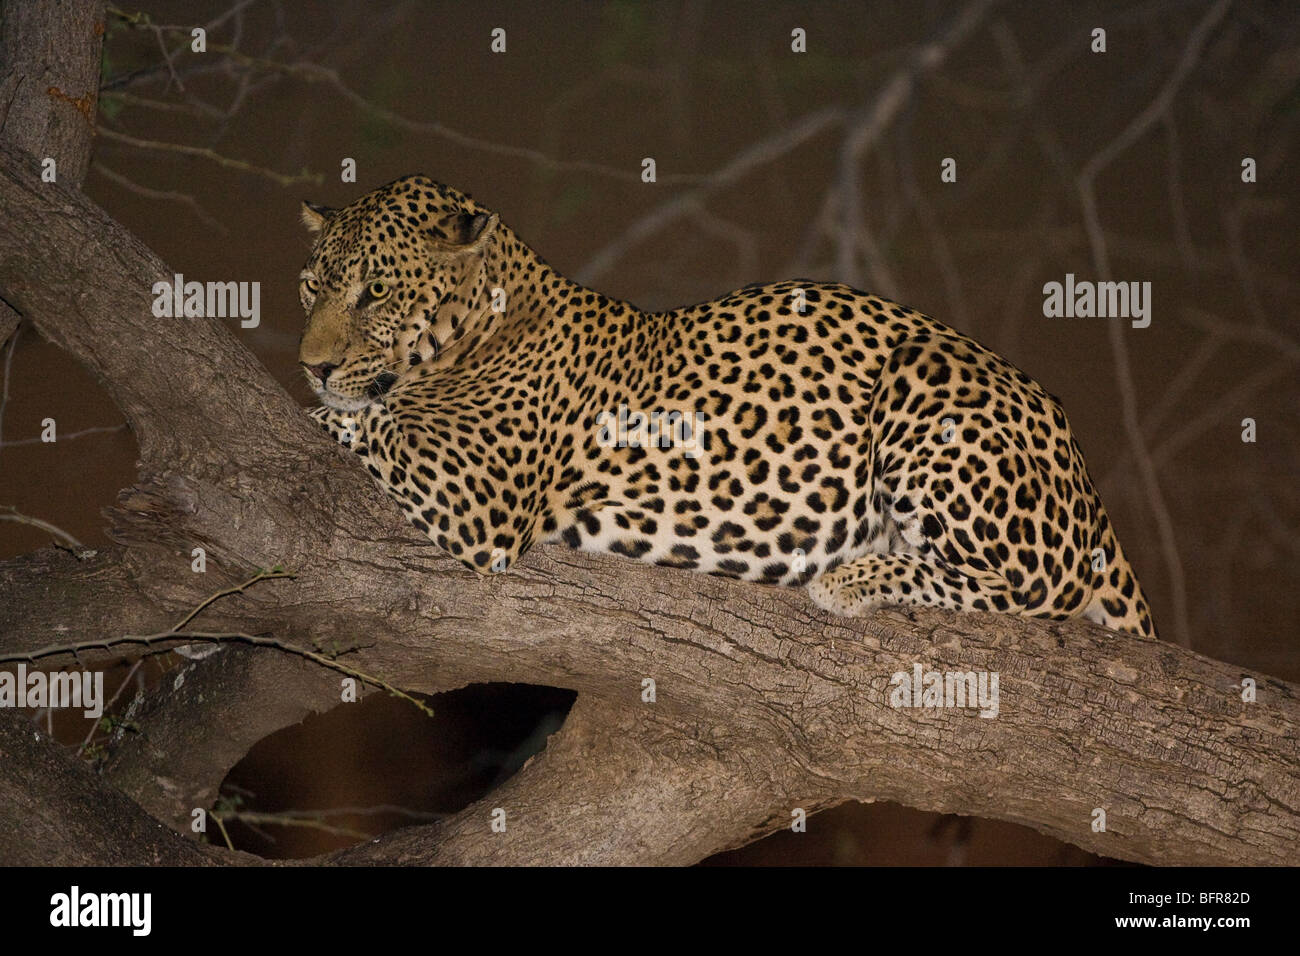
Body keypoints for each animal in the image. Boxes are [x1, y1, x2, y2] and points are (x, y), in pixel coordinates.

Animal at [296, 174, 1158, 639]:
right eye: (312, 287)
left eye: (374, 291)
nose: (311, 365)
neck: (486, 320)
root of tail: (1083, 473)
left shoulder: (479, 498)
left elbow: (369, 419)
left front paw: (326, 408)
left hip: (930, 377)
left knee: (1040, 590)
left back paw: (854, 576)